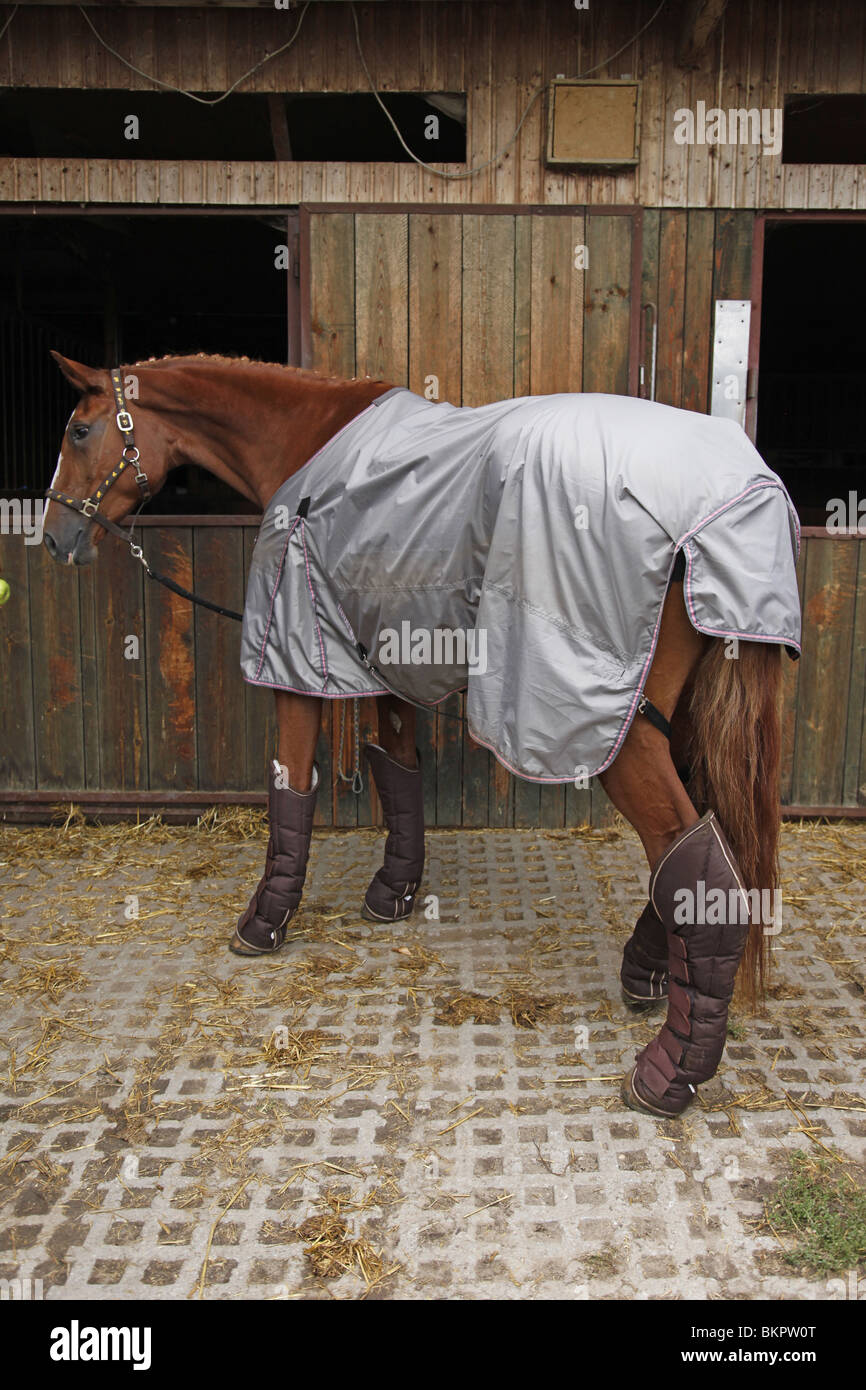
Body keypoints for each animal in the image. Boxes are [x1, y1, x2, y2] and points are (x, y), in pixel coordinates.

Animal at [42, 351, 801, 1119]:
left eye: (79, 430)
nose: (54, 538)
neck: (308, 439)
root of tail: (742, 492)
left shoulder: (297, 659)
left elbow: (291, 788)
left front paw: (264, 922)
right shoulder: (385, 661)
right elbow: (397, 772)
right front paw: (394, 893)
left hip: (613, 732)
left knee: (693, 858)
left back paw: (666, 1075)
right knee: (699, 843)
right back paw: (645, 975)